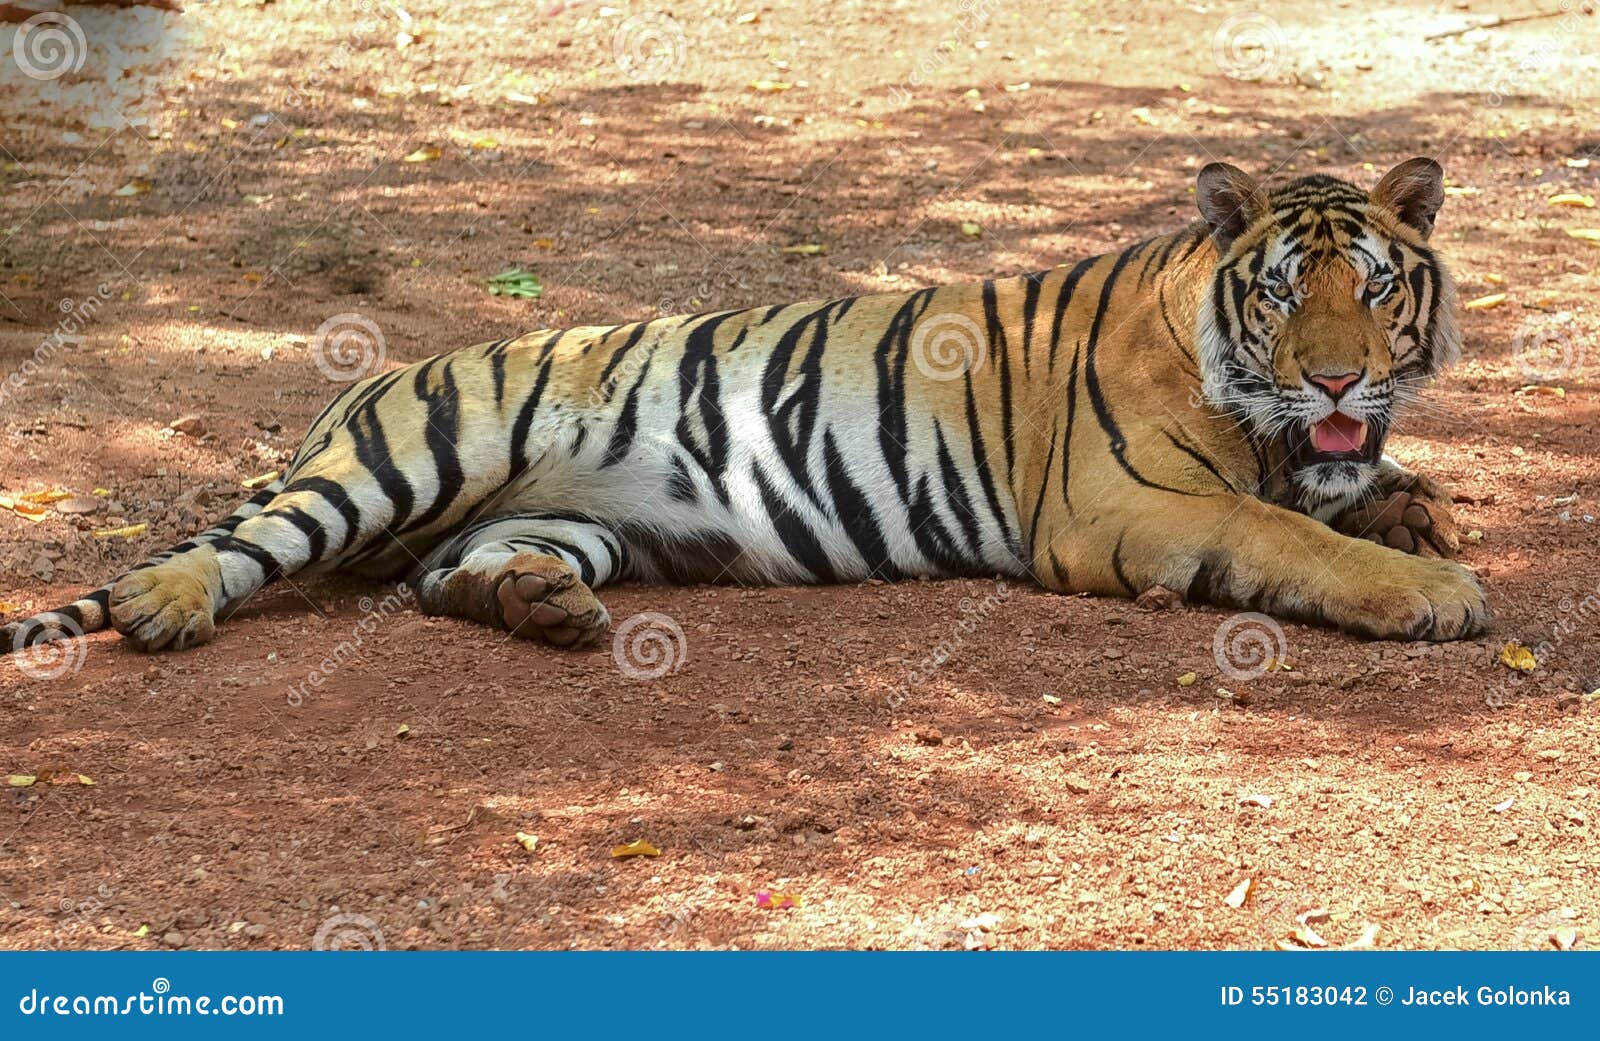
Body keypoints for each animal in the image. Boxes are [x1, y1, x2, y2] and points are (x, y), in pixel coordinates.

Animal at [3, 157, 1490, 660]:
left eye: (1372, 286)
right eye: (1286, 293)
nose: (1340, 377)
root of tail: (363, 377)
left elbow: (1369, 495)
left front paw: (1419, 516)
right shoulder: (1125, 502)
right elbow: (1286, 537)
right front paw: (1432, 591)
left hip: (571, 522)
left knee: (442, 577)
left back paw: (542, 610)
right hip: (409, 452)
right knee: (239, 544)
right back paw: (161, 607)